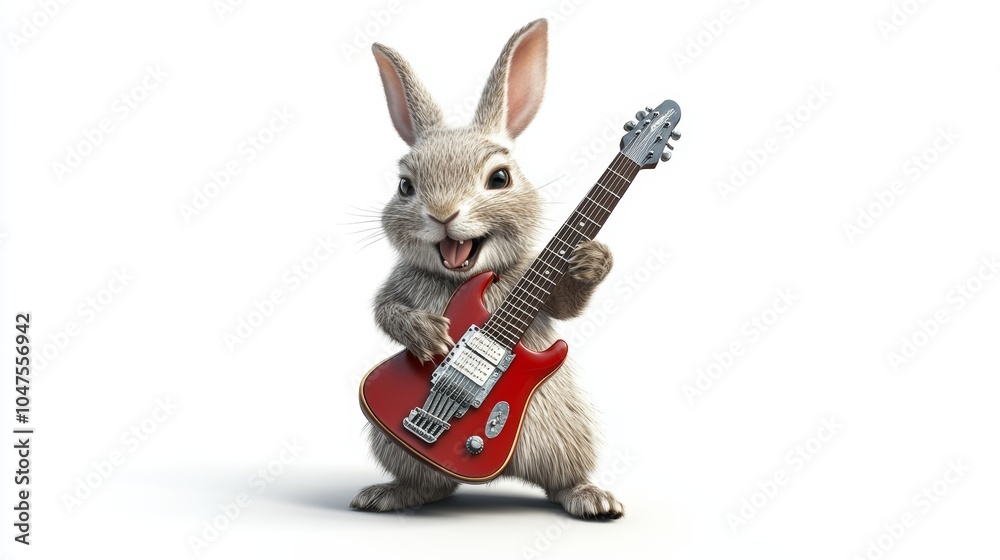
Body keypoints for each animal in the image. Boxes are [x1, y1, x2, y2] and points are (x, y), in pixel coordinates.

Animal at [350, 18, 624, 520]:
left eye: (500, 178)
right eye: (405, 186)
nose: (443, 214)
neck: (459, 278)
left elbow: (567, 305)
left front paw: (593, 258)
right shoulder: (400, 283)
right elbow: (386, 311)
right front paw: (426, 334)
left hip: (569, 432)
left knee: (563, 476)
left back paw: (589, 496)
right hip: (391, 443)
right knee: (429, 482)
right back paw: (393, 493)